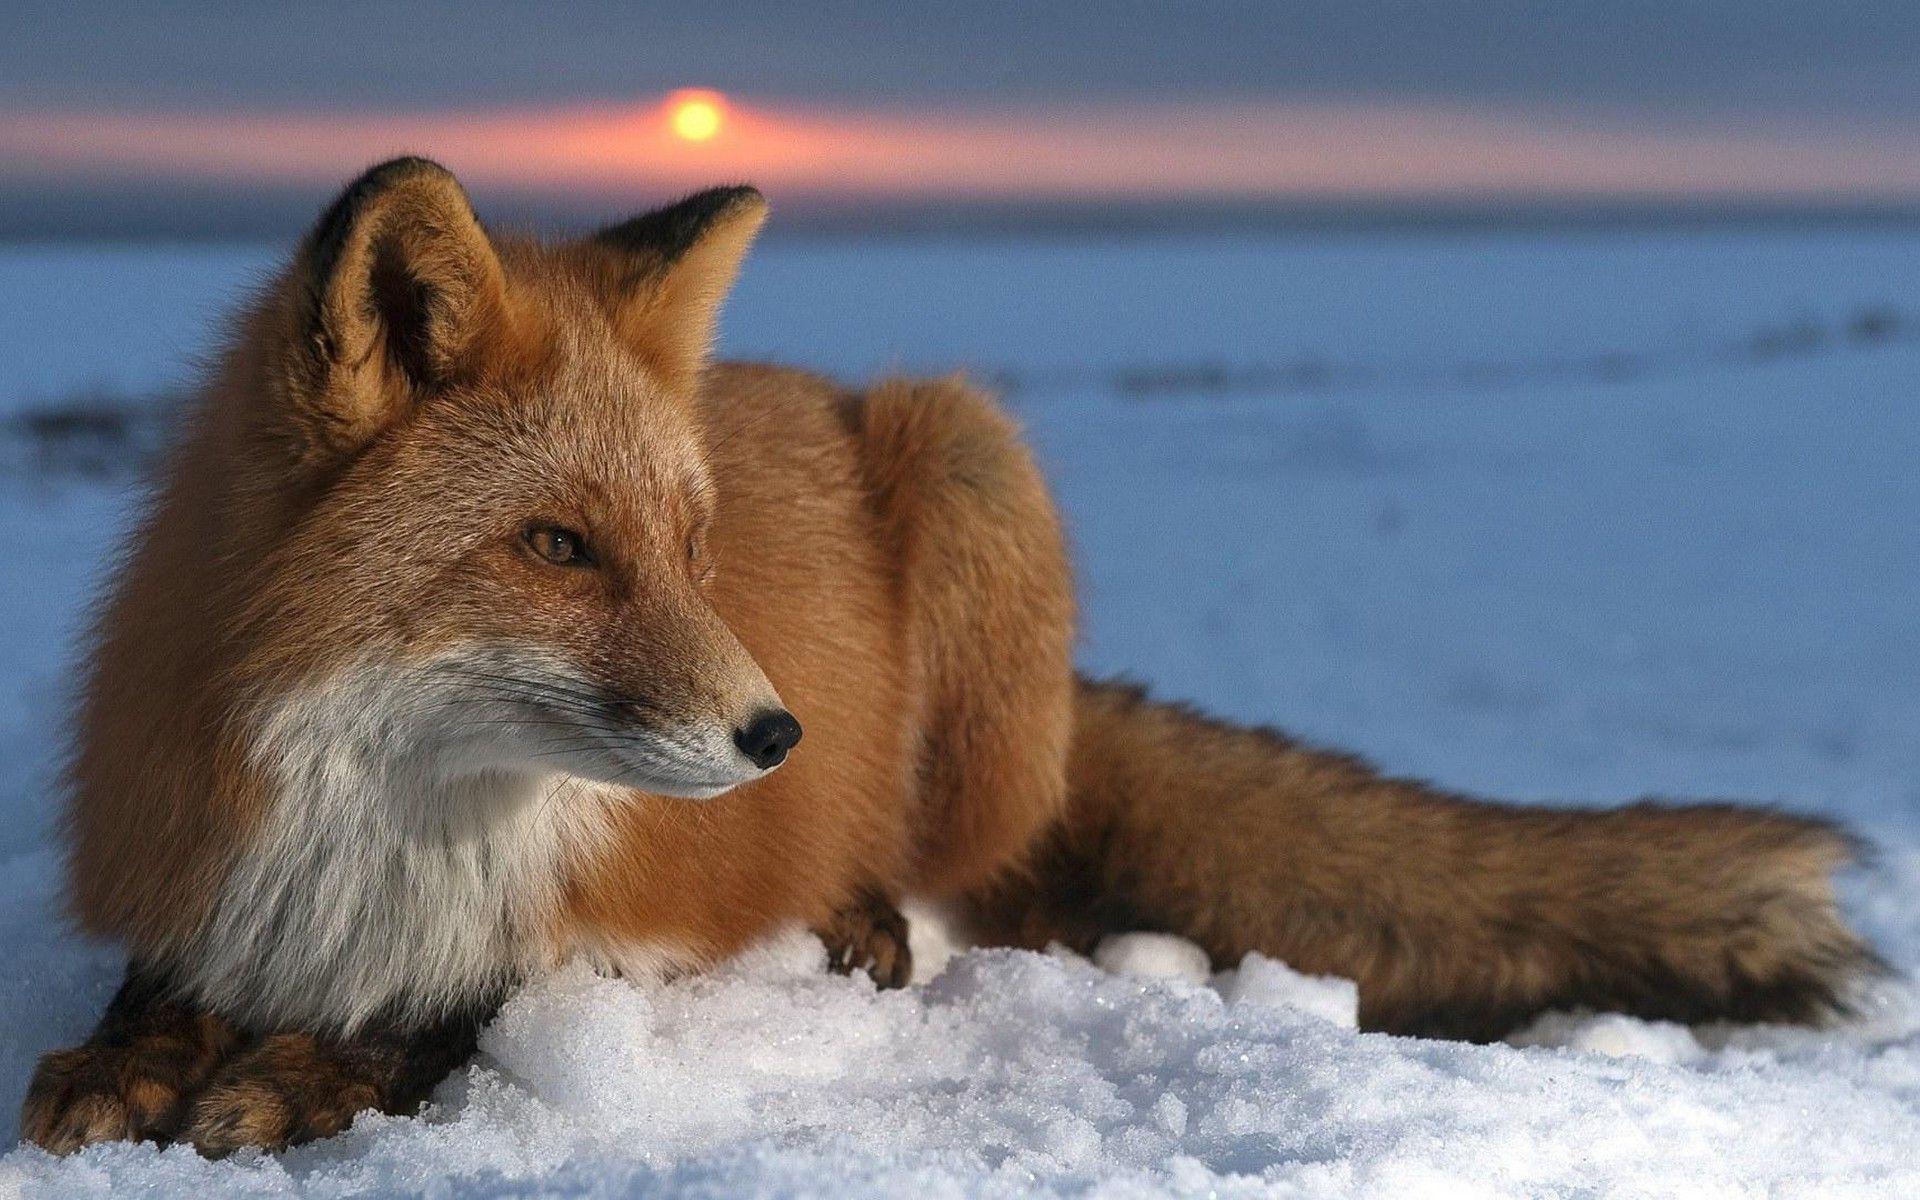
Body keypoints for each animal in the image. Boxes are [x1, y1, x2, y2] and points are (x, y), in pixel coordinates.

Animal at [21, 158, 1878, 1156]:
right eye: (556, 547)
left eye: (692, 549)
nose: (777, 735)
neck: (383, 832)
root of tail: (815, 385)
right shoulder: (204, 868)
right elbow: (149, 997)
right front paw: (132, 1061)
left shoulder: (610, 931)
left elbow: (457, 1015)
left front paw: (299, 1075)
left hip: (974, 465)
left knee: (997, 884)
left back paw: (869, 920)